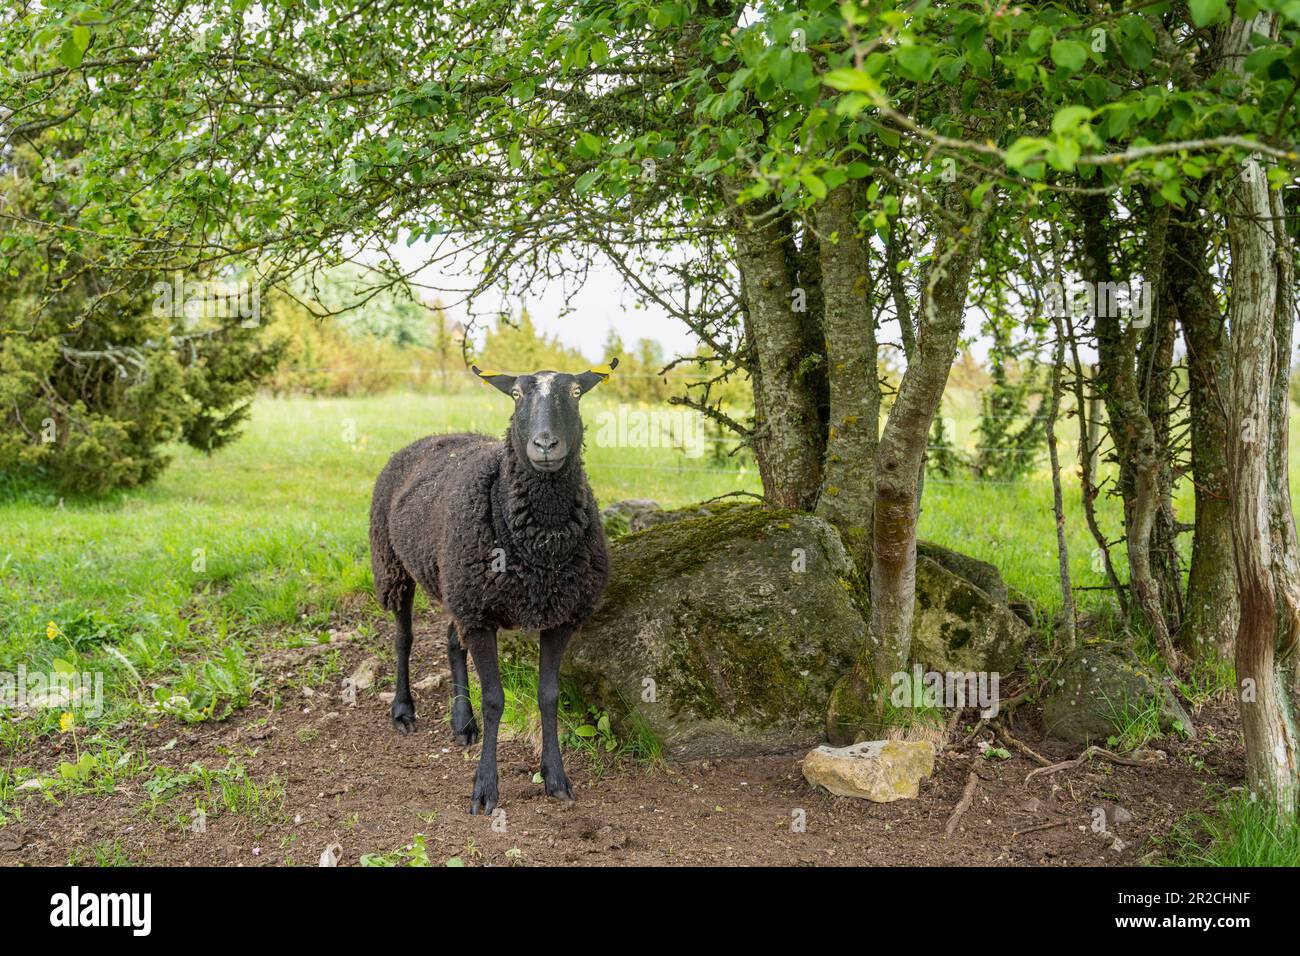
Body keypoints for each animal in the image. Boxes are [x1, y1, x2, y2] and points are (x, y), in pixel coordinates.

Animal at [368, 359, 618, 814]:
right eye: (516, 394)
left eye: (575, 392)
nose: (545, 444)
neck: (541, 540)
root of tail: (431, 437)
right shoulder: (482, 617)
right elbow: (495, 700)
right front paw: (485, 788)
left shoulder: (559, 616)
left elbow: (548, 695)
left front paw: (555, 777)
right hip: (394, 566)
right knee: (403, 638)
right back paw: (403, 710)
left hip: (458, 588)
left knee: (452, 641)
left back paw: (461, 723)